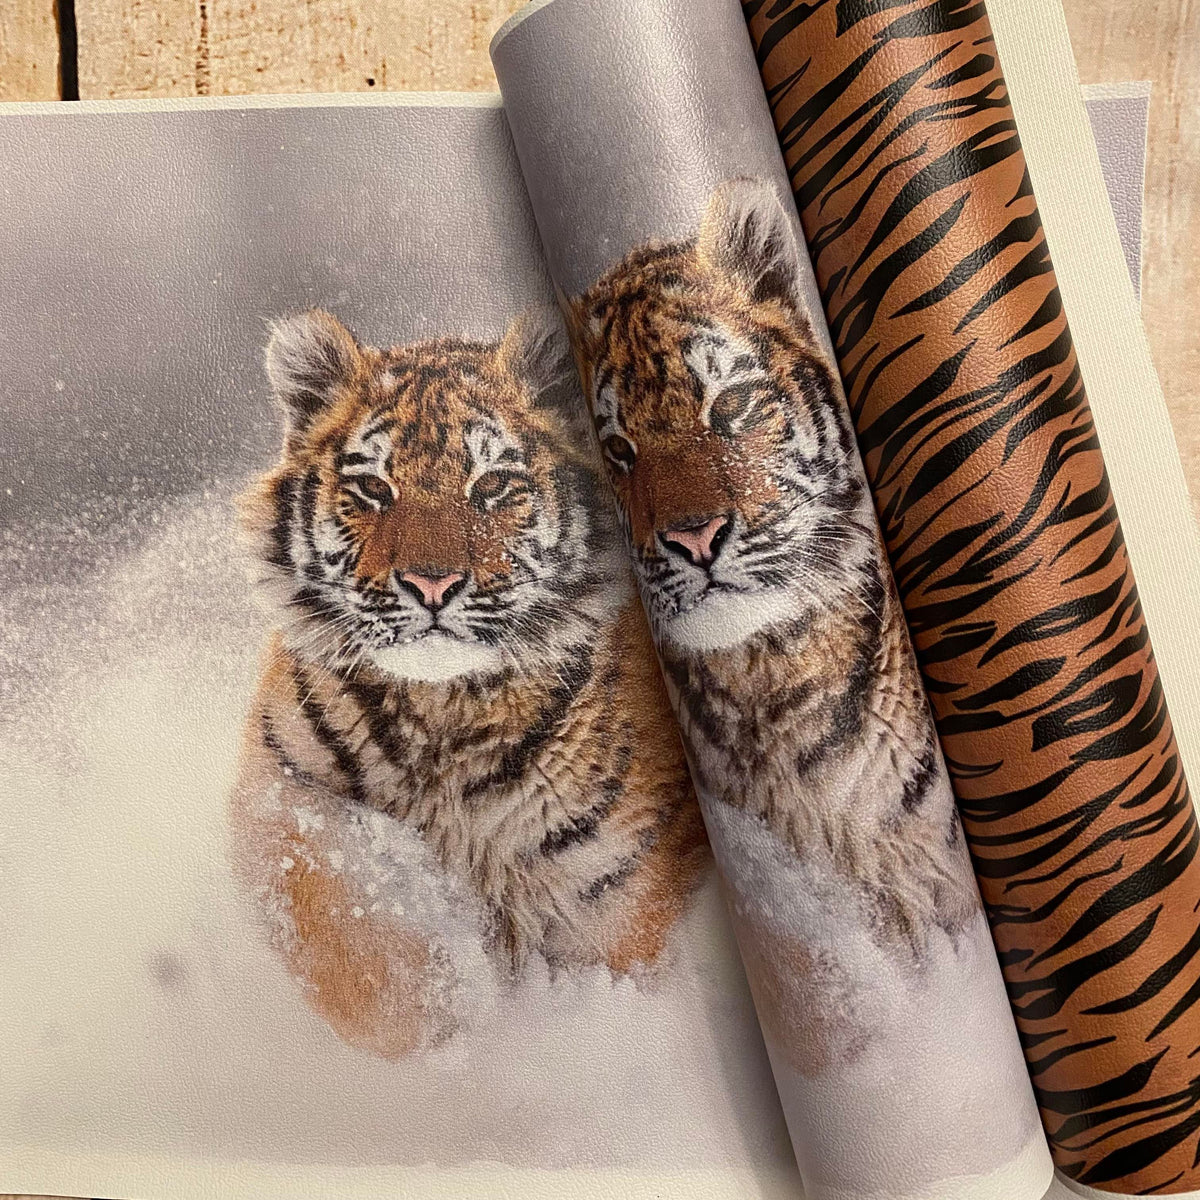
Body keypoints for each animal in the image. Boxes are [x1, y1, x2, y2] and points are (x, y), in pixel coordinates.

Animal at [229, 306, 707, 1060]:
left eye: (491, 487)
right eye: (374, 489)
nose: (432, 584)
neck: (443, 716)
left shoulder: (615, 891)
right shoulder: (280, 798)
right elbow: (351, 942)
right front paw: (450, 1030)